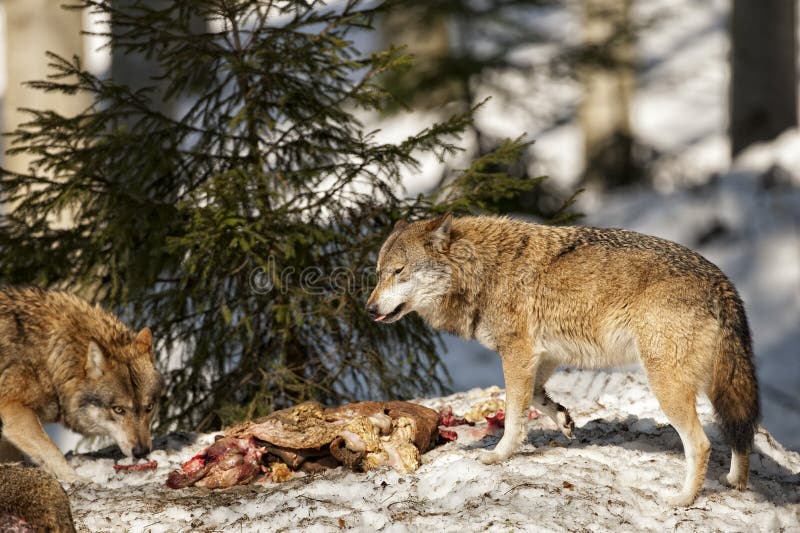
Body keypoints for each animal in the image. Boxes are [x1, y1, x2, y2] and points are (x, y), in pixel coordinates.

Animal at [0, 287, 165, 482]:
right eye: (118, 410)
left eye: (149, 407)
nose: (141, 452)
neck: (51, 357)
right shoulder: (12, 408)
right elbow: (51, 450)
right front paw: (75, 479)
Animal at [366, 213, 759, 506]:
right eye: (379, 273)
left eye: (399, 271)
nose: (369, 309)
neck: (481, 272)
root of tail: (722, 283)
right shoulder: (545, 355)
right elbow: (538, 398)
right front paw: (565, 421)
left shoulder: (517, 353)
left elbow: (513, 415)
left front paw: (499, 455)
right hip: (717, 385)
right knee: (741, 432)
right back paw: (735, 482)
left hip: (666, 385)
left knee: (703, 444)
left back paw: (683, 499)